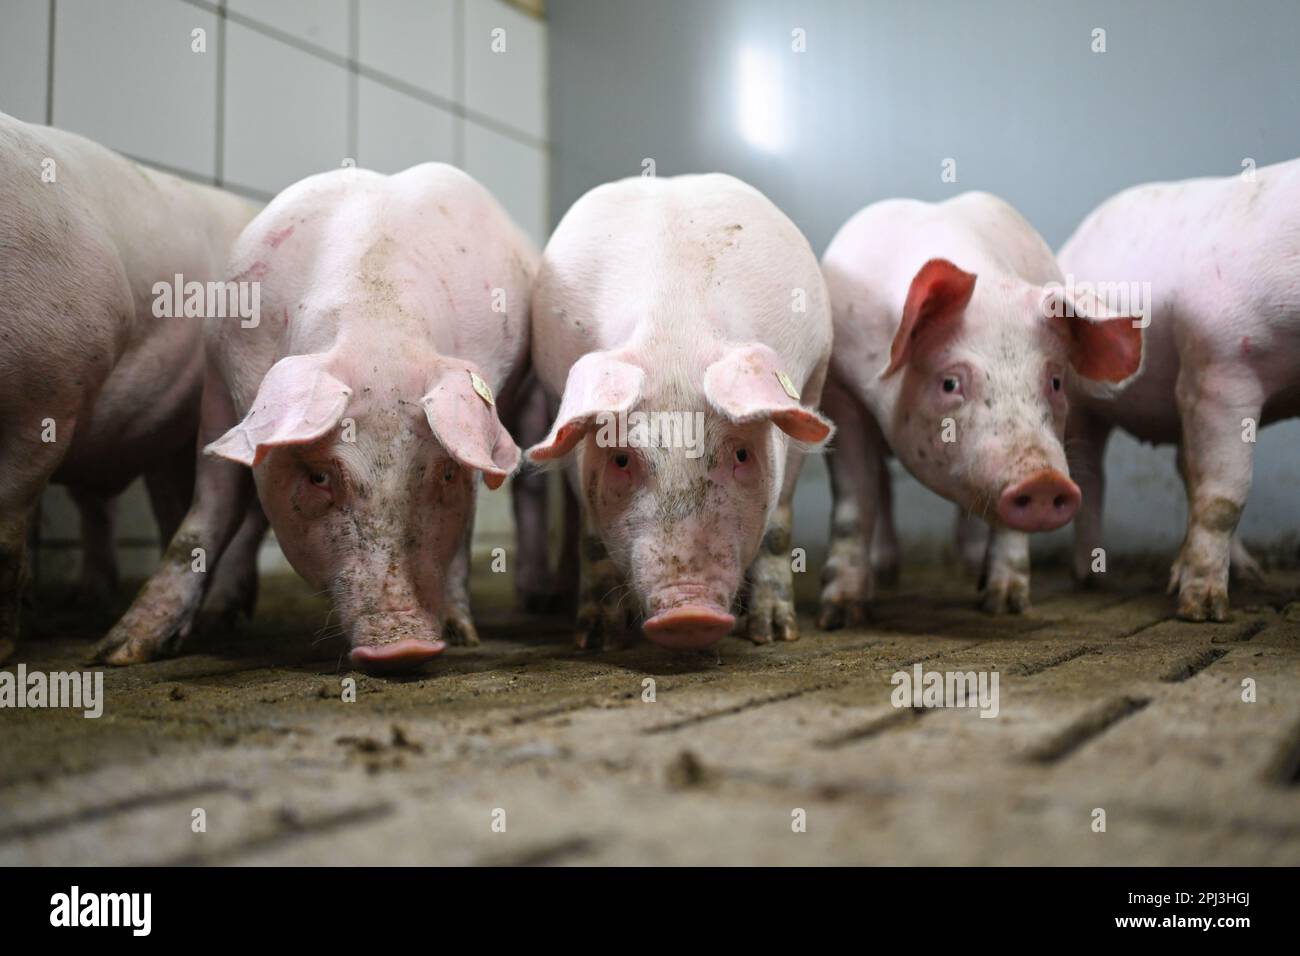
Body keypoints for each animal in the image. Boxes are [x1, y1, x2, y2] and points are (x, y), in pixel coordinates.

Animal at [93, 163, 536, 672]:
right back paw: (219, 620)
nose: (405, 647)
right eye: (321, 476)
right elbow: (205, 519)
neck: (376, 320)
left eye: (444, 473)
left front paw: (460, 634)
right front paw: (117, 653)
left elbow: (462, 530)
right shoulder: (218, 380)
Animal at [527, 174, 833, 650]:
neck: (676, 336)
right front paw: (597, 639)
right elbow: (592, 540)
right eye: (621, 459)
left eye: (741, 454)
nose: (688, 614)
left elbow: (779, 529)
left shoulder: (813, 380)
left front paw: (774, 633)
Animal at [817, 192, 1144, 625]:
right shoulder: (841, 394)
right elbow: (856, 502)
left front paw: (1005, 603)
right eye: (950, 383)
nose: (1043, 480)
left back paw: (969, 566)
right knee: (883, 485)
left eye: (1056, 381)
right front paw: (840, 616)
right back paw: (886, 572)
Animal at [1056, 160, 1300, 621]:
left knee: (1185, 466)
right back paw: (1094, 579)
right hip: (1083, 400)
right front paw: (1201, 610)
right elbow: (1224, 496)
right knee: (1090, 471)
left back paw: (1251, 575)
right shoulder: (1219, 364)